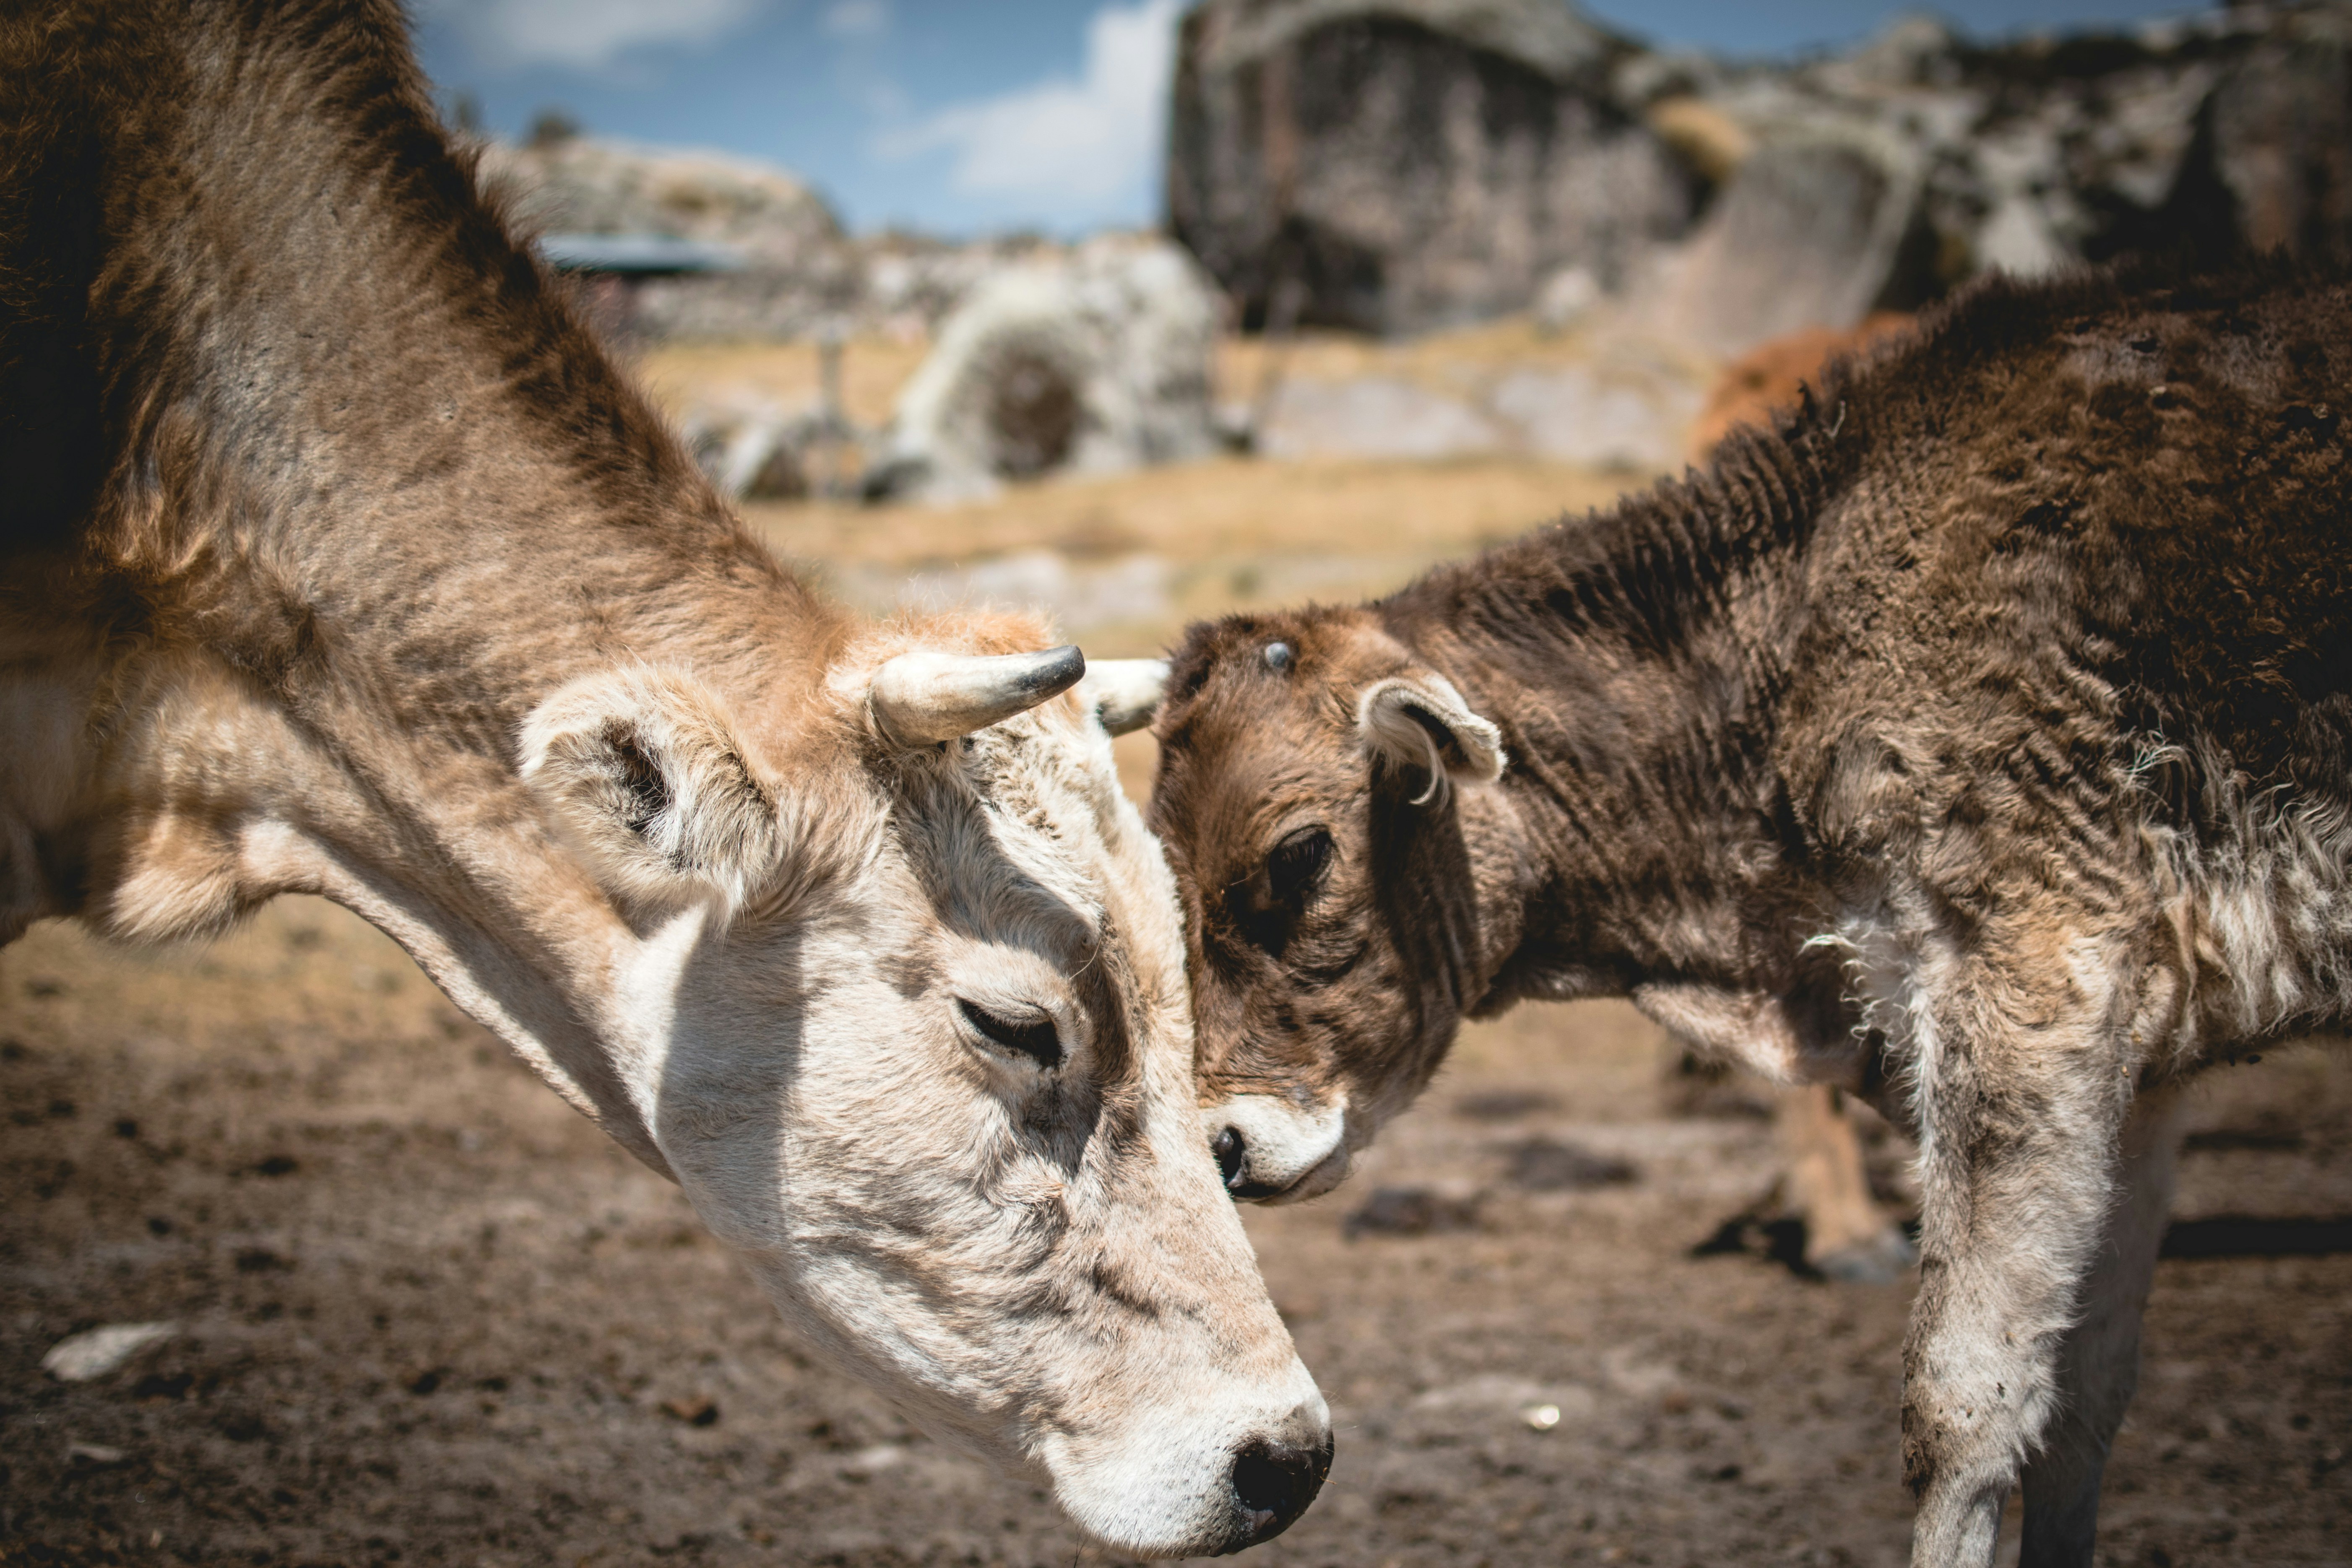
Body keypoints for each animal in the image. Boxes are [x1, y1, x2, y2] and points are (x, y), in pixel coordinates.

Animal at [1143, 258, 2351, 1566]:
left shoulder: (2033, 976)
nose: (1220, 1144)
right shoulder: (2140, 1064)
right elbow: (2080, 1404)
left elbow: (1967, 1408)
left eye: (1300, 854)